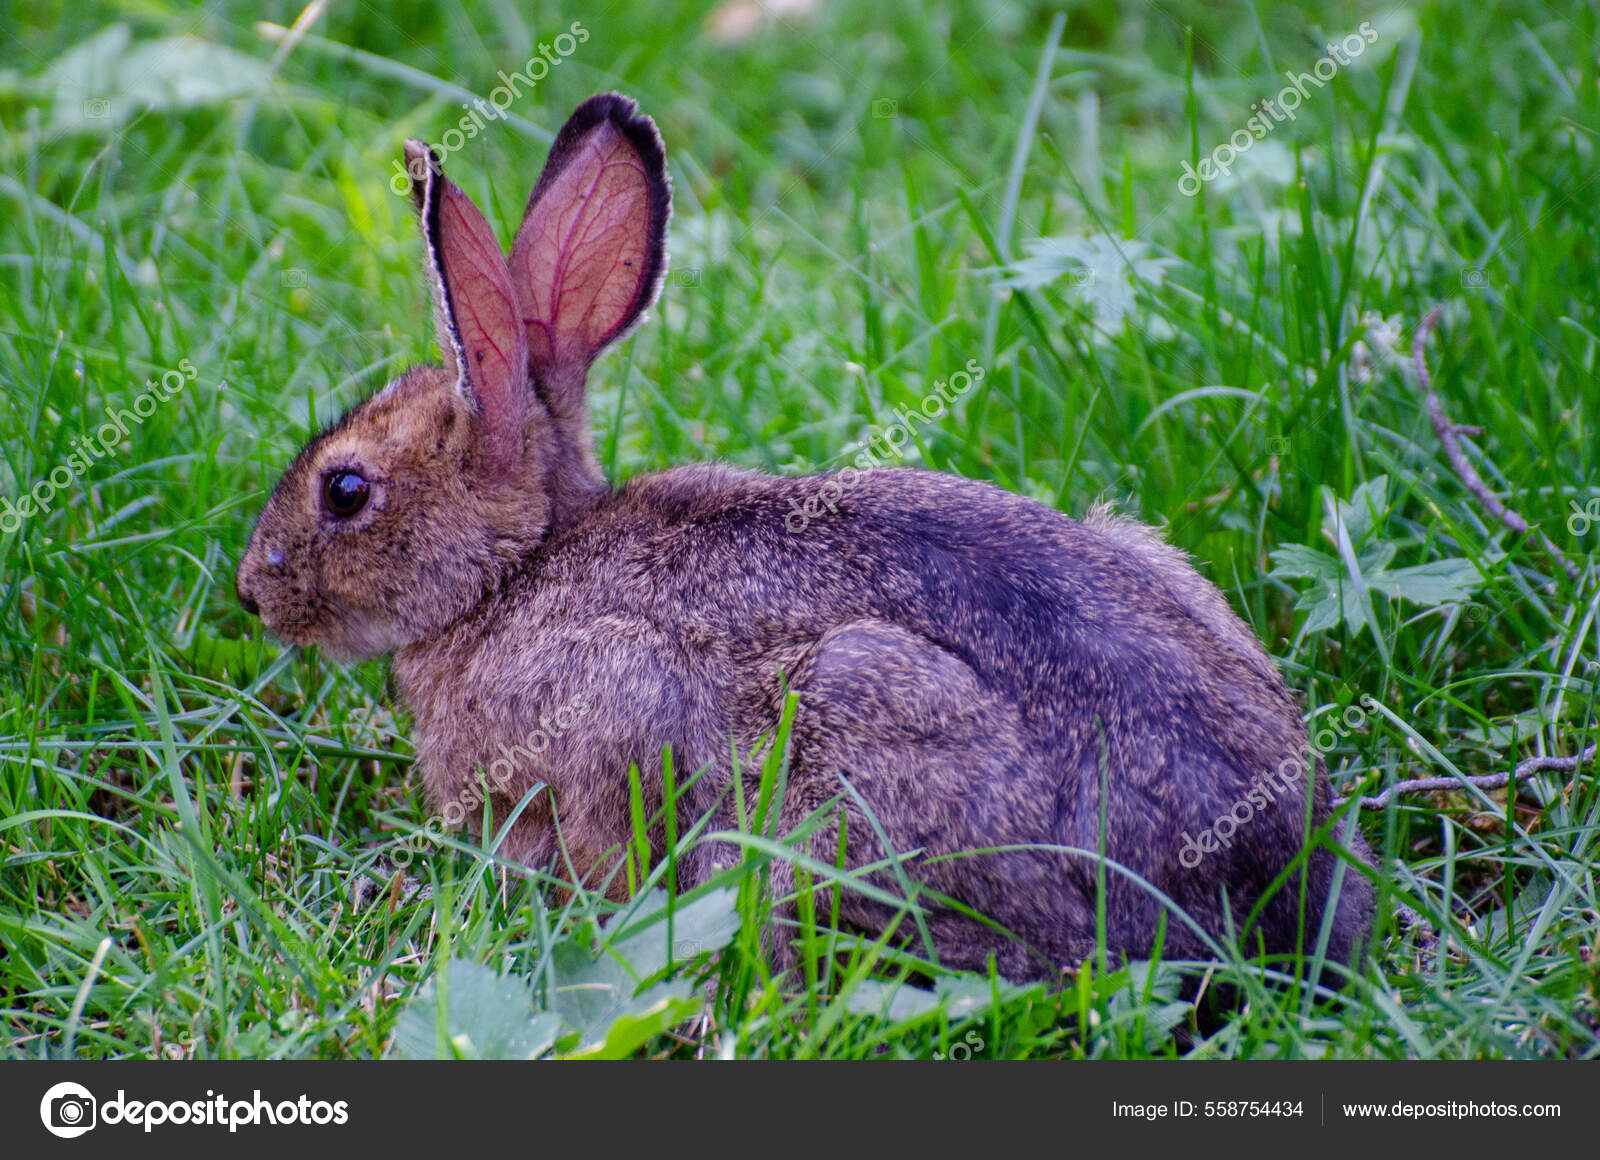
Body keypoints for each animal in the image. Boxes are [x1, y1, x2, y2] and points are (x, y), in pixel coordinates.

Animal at [236, 92, 1375, 983]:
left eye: (346, 490)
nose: (252, 591)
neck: (513, 569)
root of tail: (1265, 889)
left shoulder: (609, 694)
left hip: (860, 730)